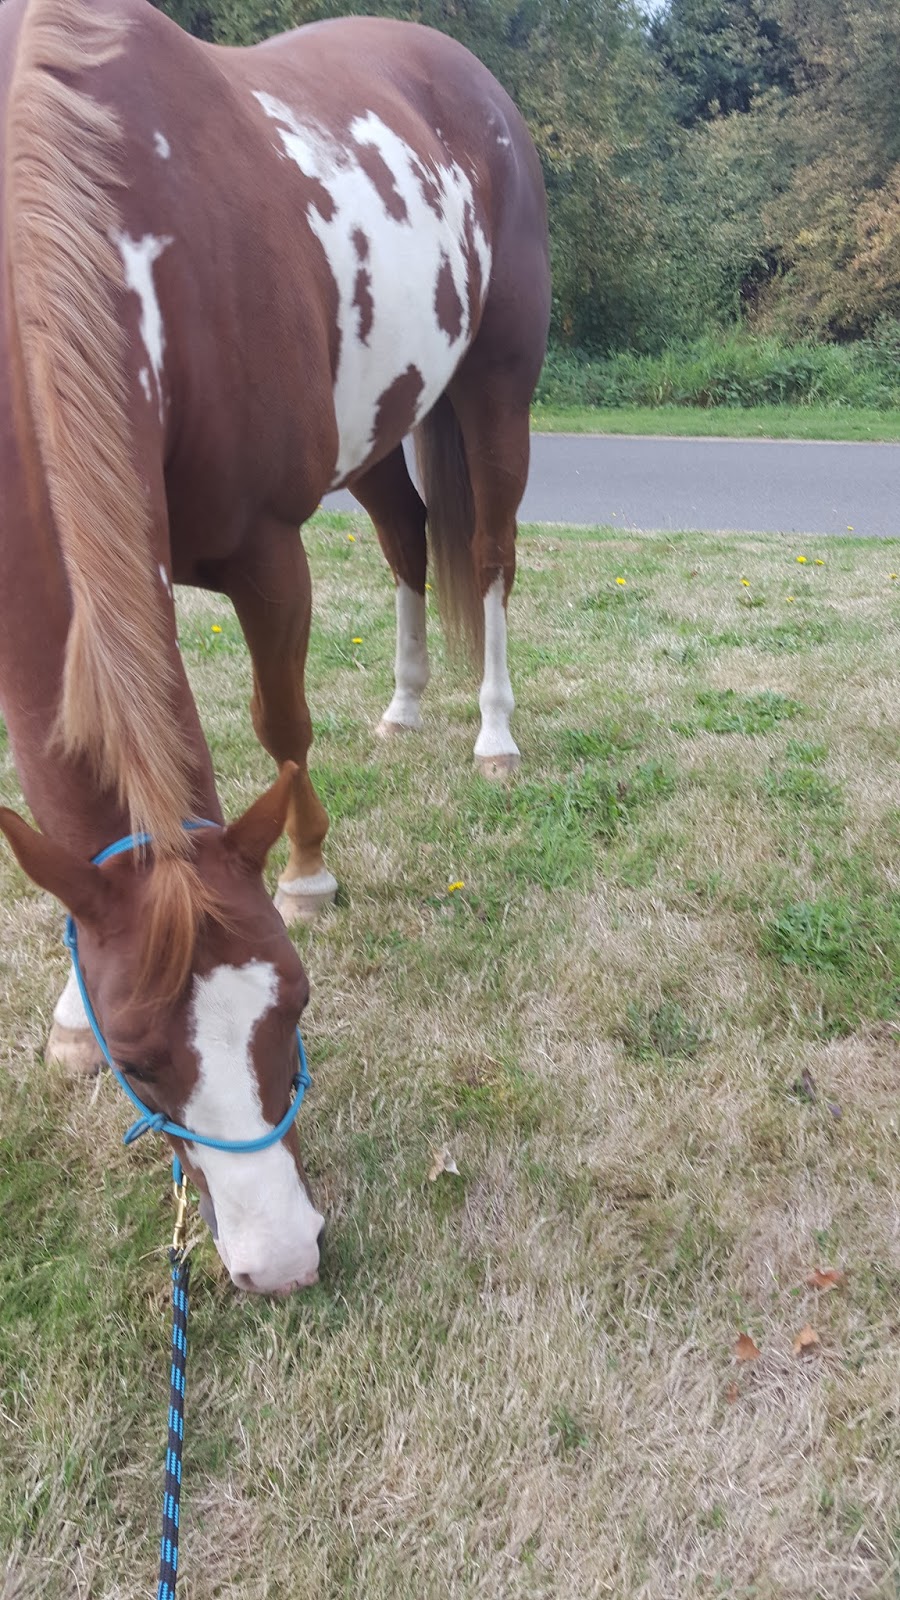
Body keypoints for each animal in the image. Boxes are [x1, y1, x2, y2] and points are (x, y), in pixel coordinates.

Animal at [0, 0, 550, 1294]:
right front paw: (66, 1006)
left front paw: (305, 869)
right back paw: (405, 706)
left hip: (497, 387)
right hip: (381, 434)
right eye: (140, 1058)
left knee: (488, 553)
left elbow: (280, 725)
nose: (283, 1256)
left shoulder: (265, 549)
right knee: (407, 543)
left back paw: (491, 733)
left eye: (295, 1003)